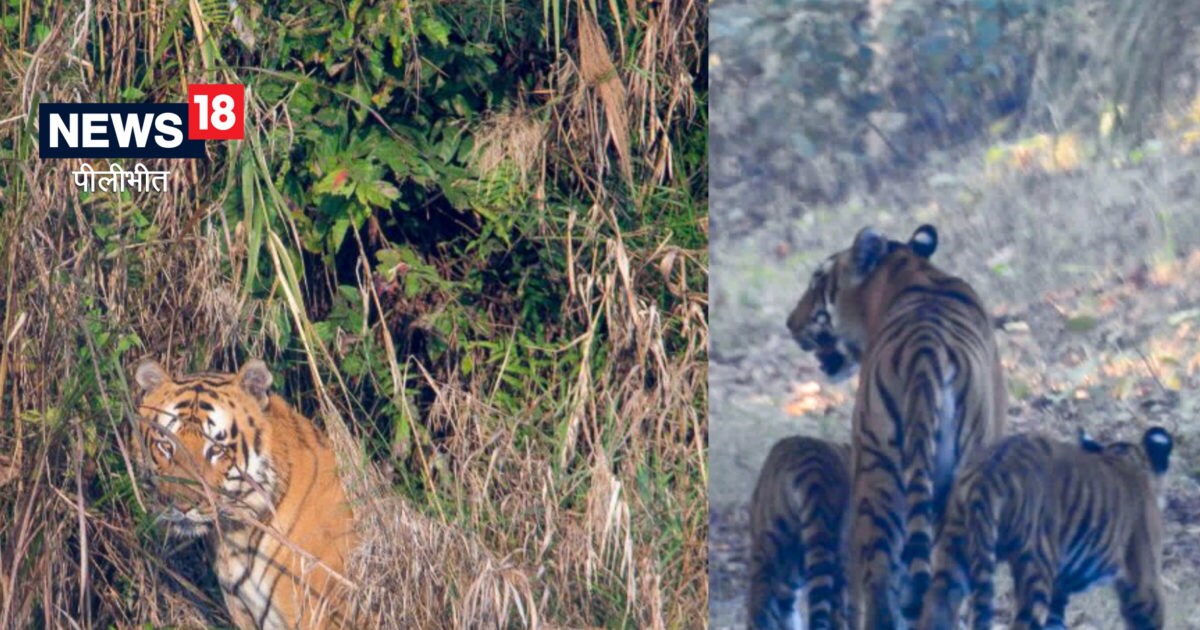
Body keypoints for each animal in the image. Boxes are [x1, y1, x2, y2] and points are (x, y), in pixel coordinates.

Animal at [786, 224, 1008, 628]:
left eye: (817, 282)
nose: (790, 323)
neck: (908, 270)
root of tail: (926, 351)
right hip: (890, 476)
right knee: (902, 588)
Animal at [918, 426, 1174, 630]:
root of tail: (989, 471)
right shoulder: (1145, 583)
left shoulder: (1060, 590)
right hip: (1036, 569)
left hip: (953, 549)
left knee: (937, 605)